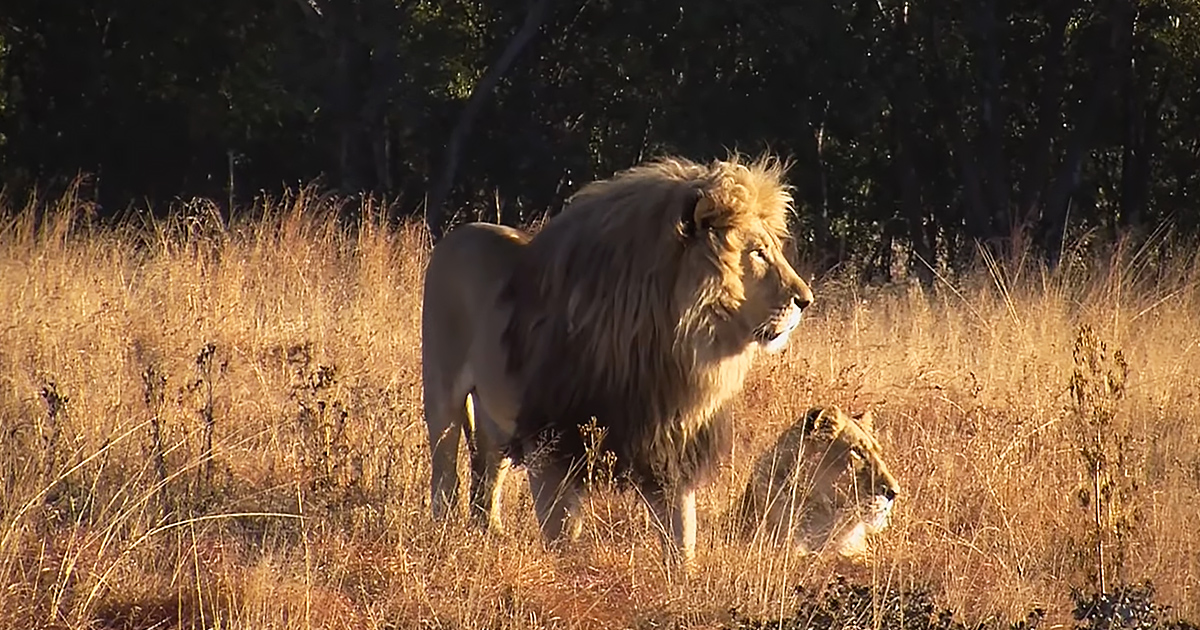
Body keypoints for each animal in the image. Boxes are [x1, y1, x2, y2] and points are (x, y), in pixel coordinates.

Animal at [420, 152, 814, 572]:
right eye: (757, 252)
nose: (805, 299)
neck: (675, 347)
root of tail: (456, 235)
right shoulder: (552, 441)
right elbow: (562, 533)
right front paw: (568, 573)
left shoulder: (668, 450)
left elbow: (682, 534)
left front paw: (683, 580)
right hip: (442, 393)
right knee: (445, 472)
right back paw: (442, 534)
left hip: (494, 415)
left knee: (487, 473)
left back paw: (490, 533)